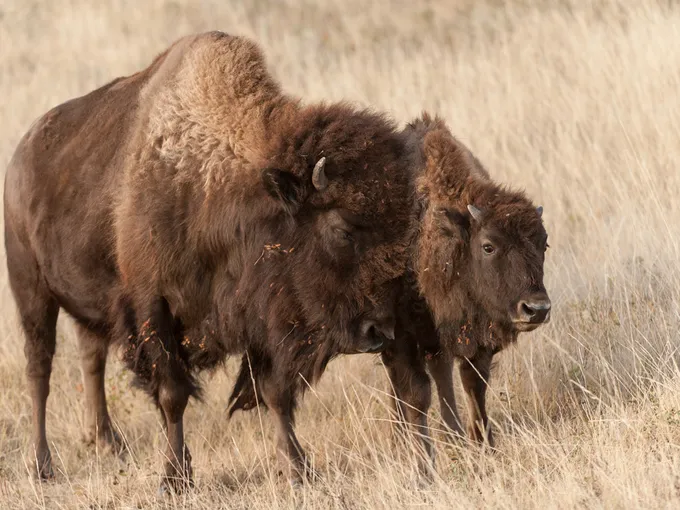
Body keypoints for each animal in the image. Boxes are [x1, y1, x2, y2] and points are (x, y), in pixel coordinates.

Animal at [4, 32, 416, 489]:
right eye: (343, 229)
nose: (379, 331)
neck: (212, 181)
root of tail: (20, 156)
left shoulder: (258, 310)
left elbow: (274, 392)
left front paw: (298, 468)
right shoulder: (152, 308)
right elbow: (173, 394)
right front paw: (175, 477)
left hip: (89, 307)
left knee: (91, 359)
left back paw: (109, 444)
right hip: (31, 292)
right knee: (39, 371)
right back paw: (43, 465)